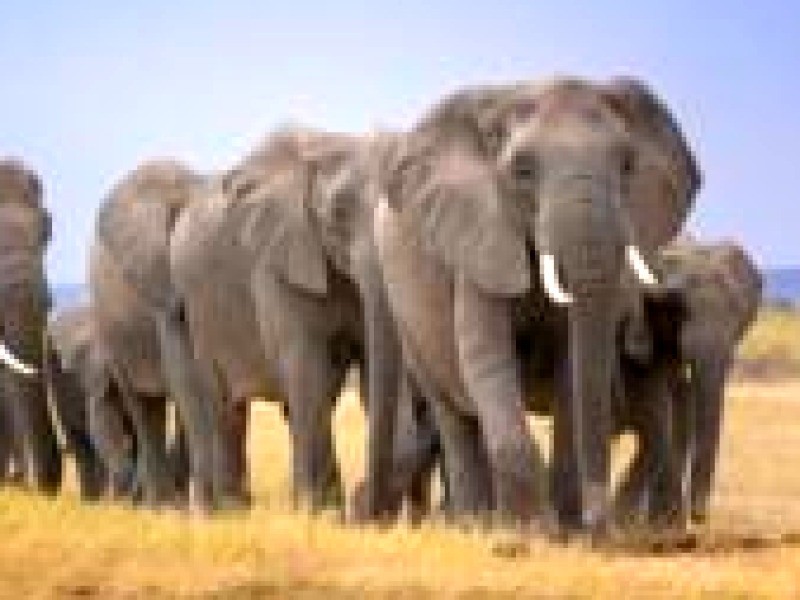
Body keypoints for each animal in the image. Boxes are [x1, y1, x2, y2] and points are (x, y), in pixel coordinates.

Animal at [169, 127, 403, 516]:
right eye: (337, 214)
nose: (365, 501)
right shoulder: (275, 260)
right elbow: (303, 365)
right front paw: (322, 514)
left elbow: (369, 366)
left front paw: (327, 513)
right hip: (198, 305)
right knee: (227, 409)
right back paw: (232, 512)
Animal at [372, 77, 701, 531]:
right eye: (522, 171)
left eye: (628, 165)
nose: (597, 524)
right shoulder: (479, 233)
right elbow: (486, 354)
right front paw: (527, 531)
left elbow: (571, 366)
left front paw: (565, 531)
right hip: (405, 312)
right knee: (454, 413)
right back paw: (474, 523)